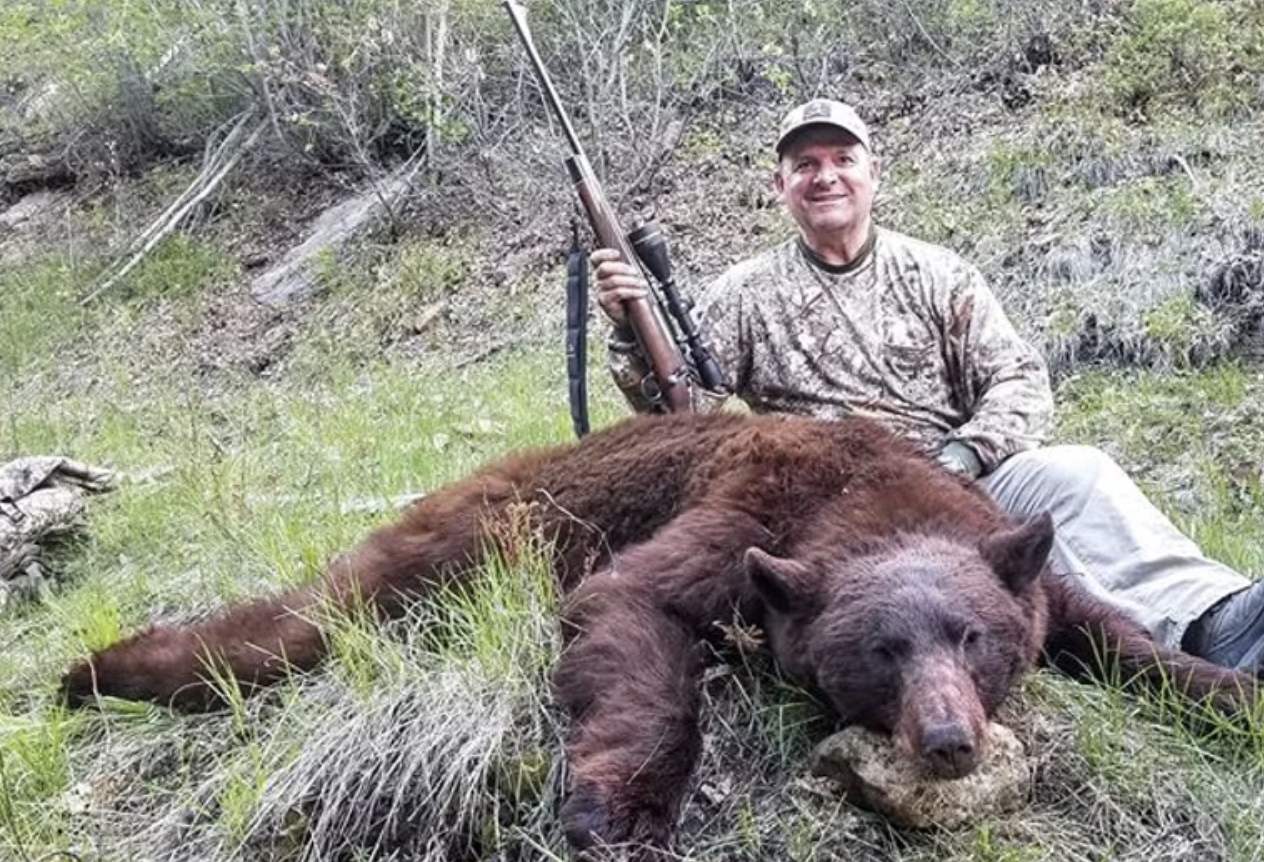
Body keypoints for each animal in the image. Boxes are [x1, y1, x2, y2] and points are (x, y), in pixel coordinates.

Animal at [60, 411, 1257, 858]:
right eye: (881, 653)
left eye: (970, 639)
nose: (948, 741)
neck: (869, 496)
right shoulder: (748, 516)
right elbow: (628, 610)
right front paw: (616, 806)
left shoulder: (1019, 560)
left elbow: (1119, 637)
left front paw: (1231, 690)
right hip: (474, 543)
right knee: (310, 619)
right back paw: (95, 670)